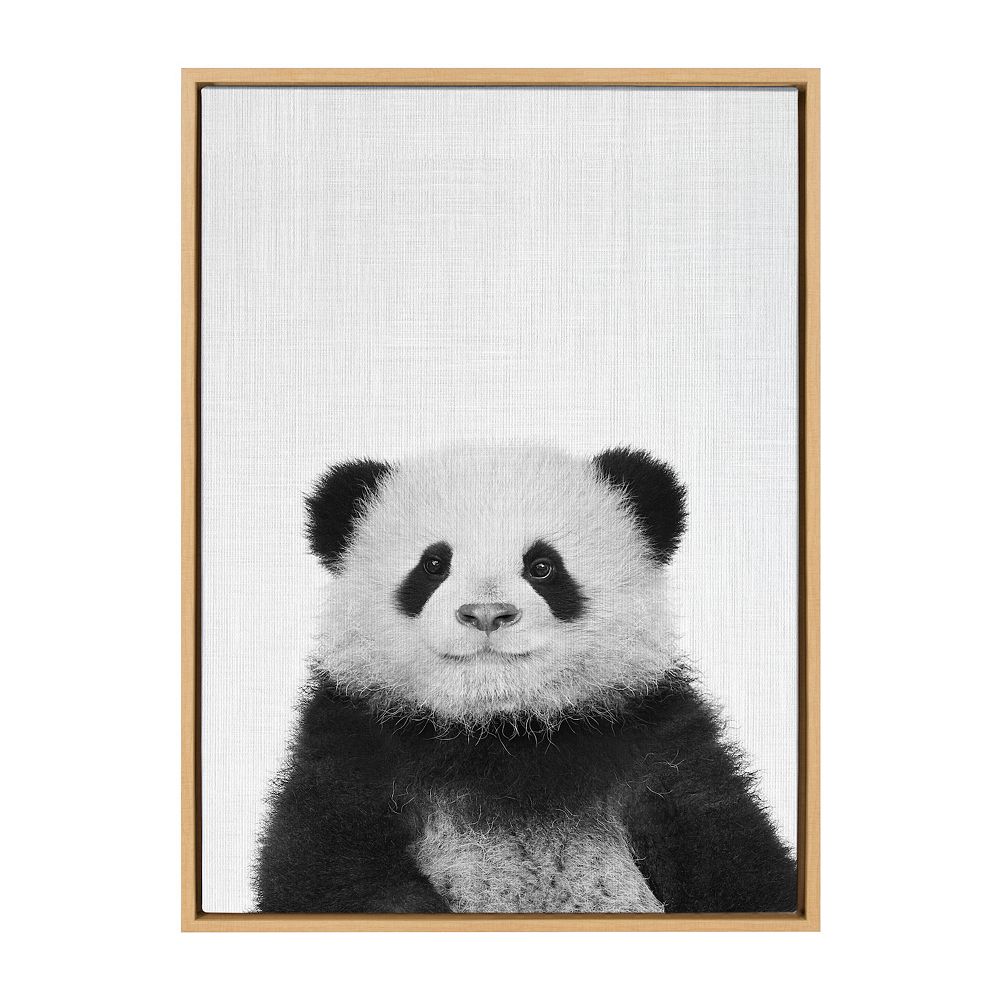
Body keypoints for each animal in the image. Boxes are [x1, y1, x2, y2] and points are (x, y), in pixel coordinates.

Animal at [254, 444, 797, 914]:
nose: (487, 613)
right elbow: (322, 864)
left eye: (543, 567)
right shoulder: (356, 740)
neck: (503, 730)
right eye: (433, 565)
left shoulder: (655, 739)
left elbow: (731, 851)